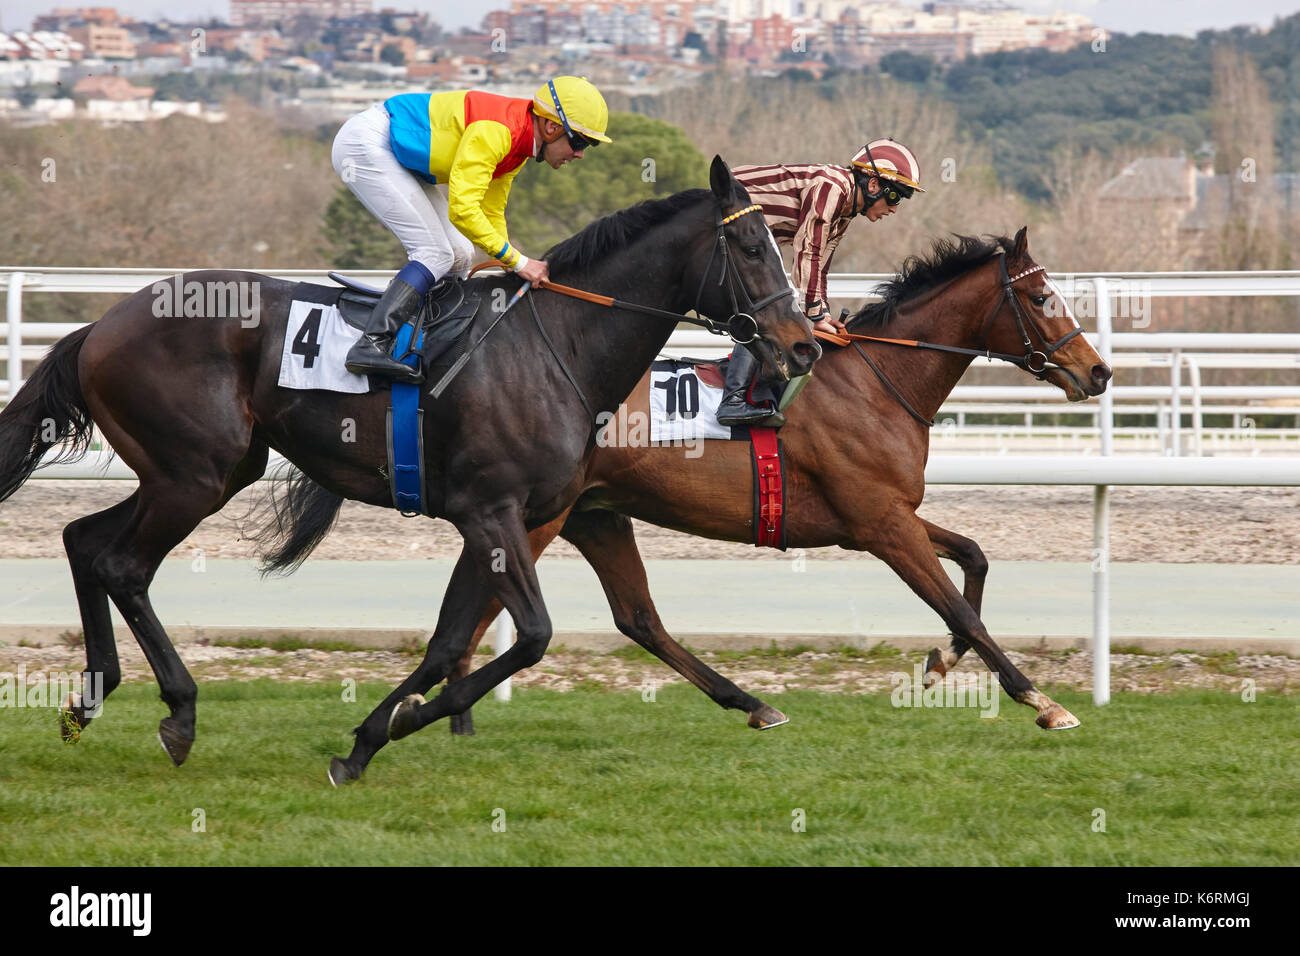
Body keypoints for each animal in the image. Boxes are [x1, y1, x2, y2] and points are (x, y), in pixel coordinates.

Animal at [0, 157, 820, 778]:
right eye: (754, 247)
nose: (804, 345)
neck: (557, 345)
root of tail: (103, 322)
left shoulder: (511, 518)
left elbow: (452, 640)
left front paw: (370, 739)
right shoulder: (490, 511)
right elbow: (531, 636)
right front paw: (403, 724)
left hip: (207, 471)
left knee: (83, 540)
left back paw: (90, 698)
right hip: (192, 475)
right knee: (123, 564)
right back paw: (179, 712)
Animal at [439, 227, 1113, 735]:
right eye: (1041, 298)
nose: (1099, 372)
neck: (877, 381)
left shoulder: (883, 515)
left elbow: (974, 557)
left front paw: (939, 662)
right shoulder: (882, 525)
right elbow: (962, 610)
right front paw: (1042, 702)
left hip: (589, 512)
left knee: (630, 617)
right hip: (539, 517)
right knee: (486, 613)